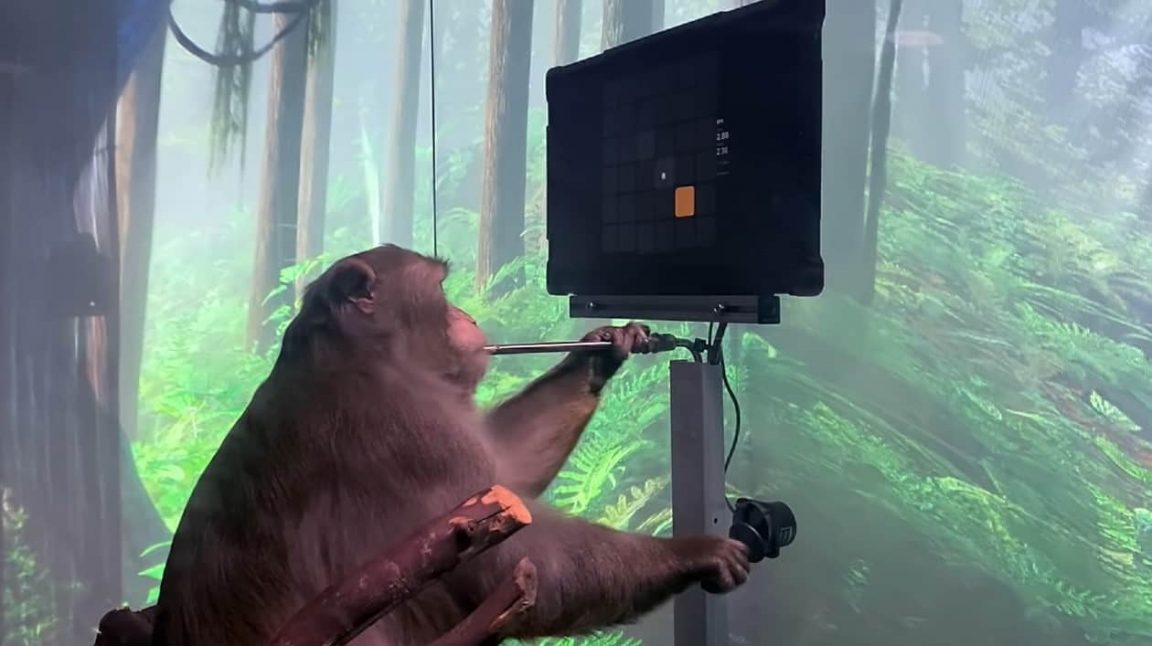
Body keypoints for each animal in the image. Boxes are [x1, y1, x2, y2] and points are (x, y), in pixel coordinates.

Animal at [150, 244, 750, 645]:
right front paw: (694, 552)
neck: (365, 352)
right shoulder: (410, 431)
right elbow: (524, 559)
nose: (469, 315)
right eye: (439, 290)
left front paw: (603, 350)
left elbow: (508, 472)